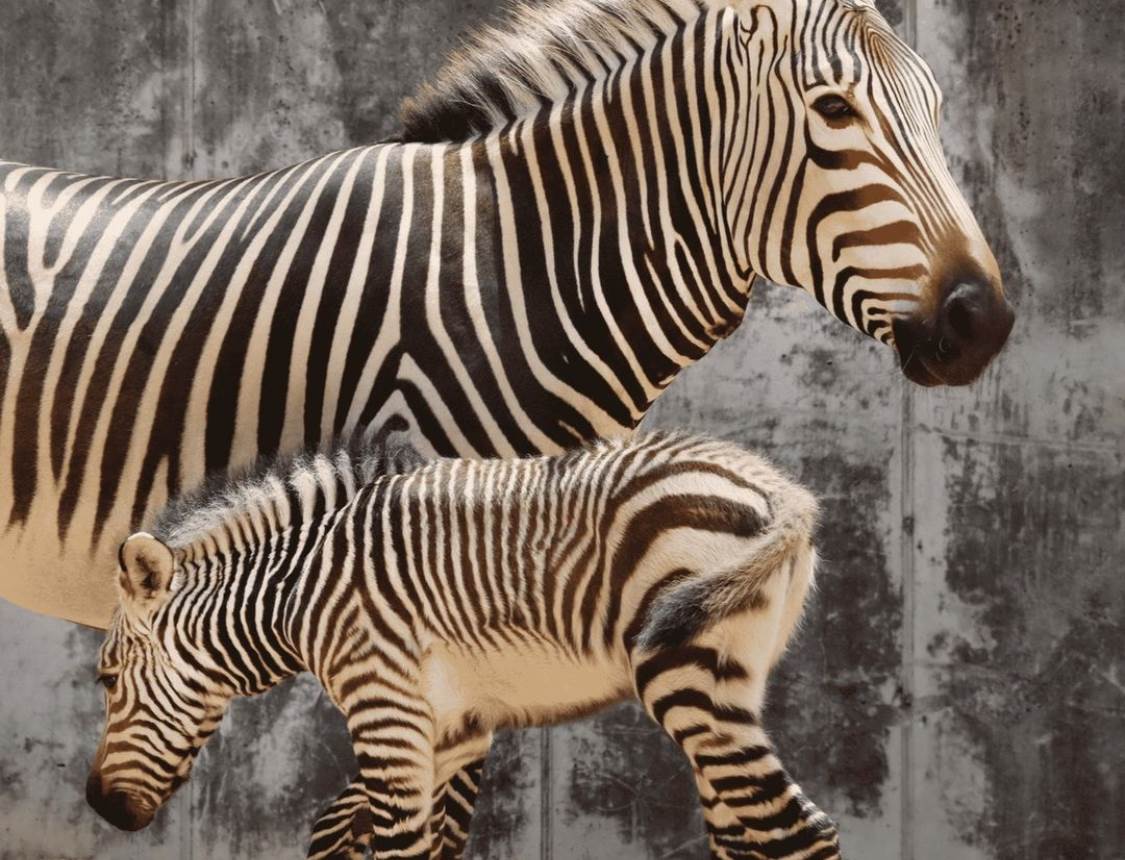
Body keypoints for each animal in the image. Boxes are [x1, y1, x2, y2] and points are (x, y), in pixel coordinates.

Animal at [86, 432, 835, 860]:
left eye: (108, 679)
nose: (98, 807)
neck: (299, 590)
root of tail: (775, 488)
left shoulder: (384, 709)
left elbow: (394, 846)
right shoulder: (451, 729)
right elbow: (355, 832)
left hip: (686, 676)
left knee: (793, 832)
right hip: (724, 682)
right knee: (754, 832)